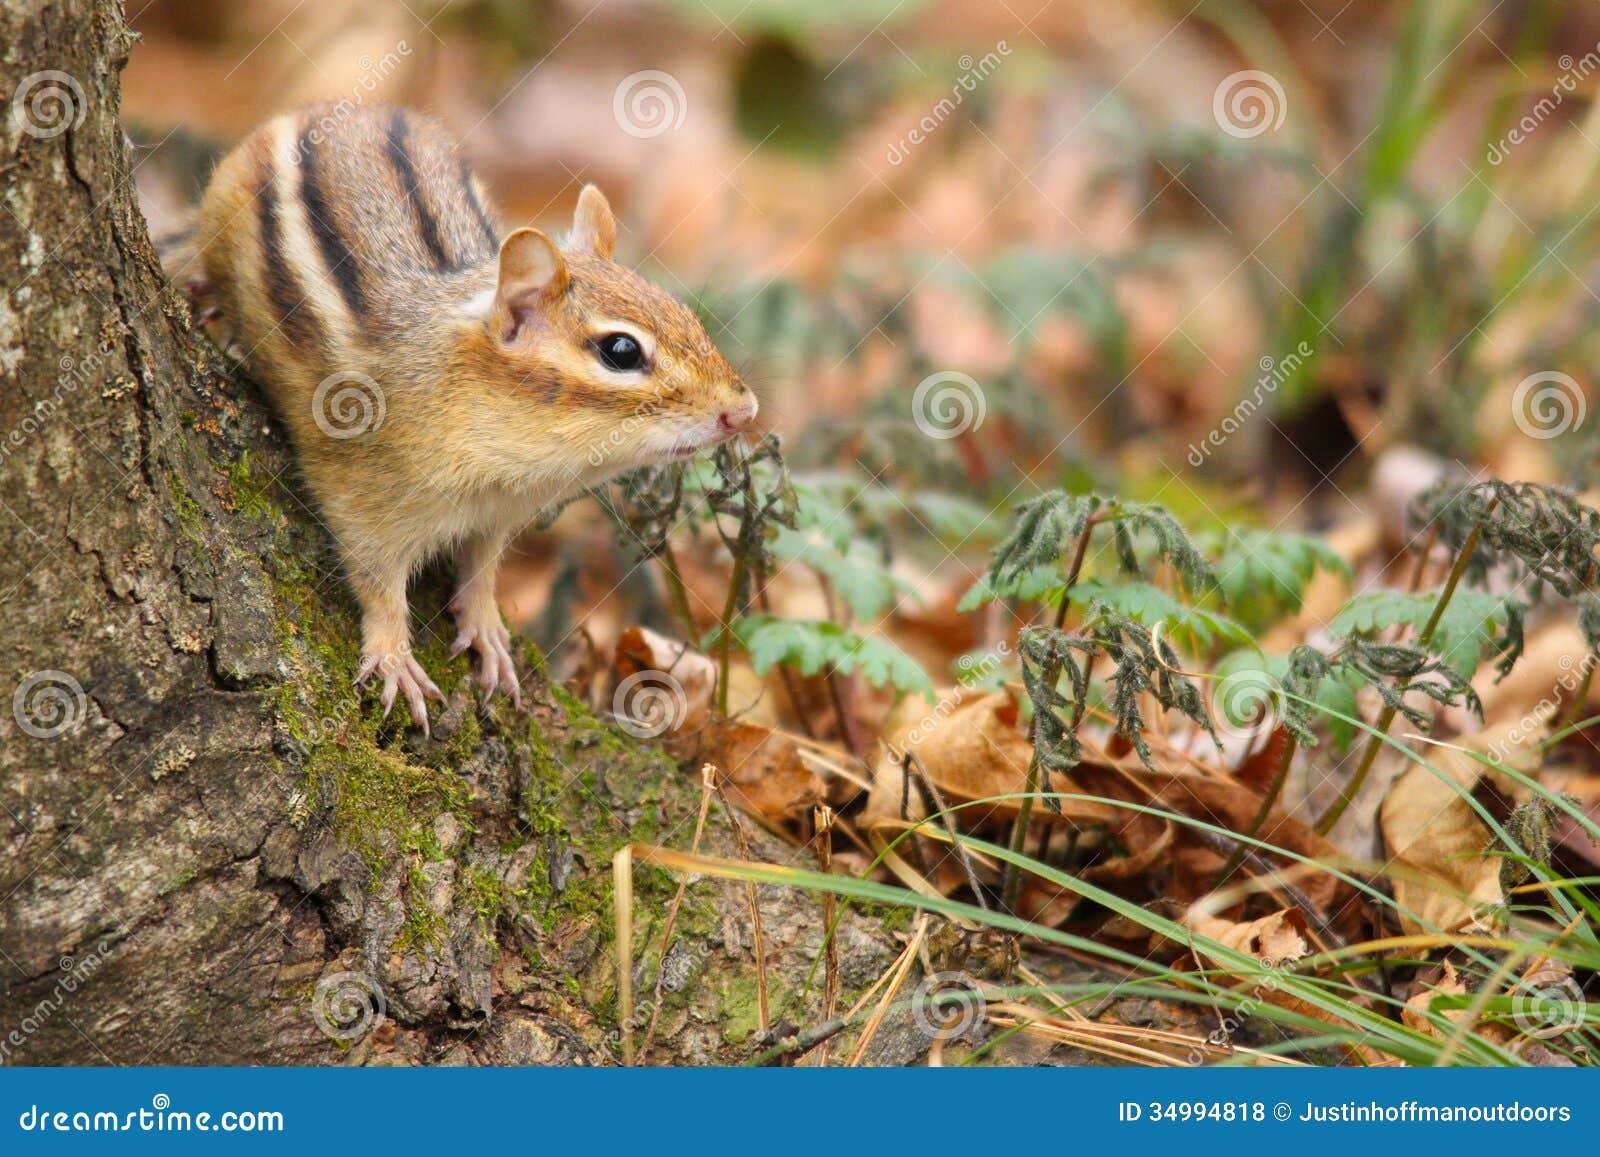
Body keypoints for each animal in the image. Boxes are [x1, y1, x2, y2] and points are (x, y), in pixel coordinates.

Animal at [164, 104, 757, 732]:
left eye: (686, 313)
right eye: (620, 351)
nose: (744, 411)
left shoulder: (496, 516)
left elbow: (482, 569)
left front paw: (488, 633)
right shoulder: (362, 496)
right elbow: (377, 581)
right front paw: (395, 659)